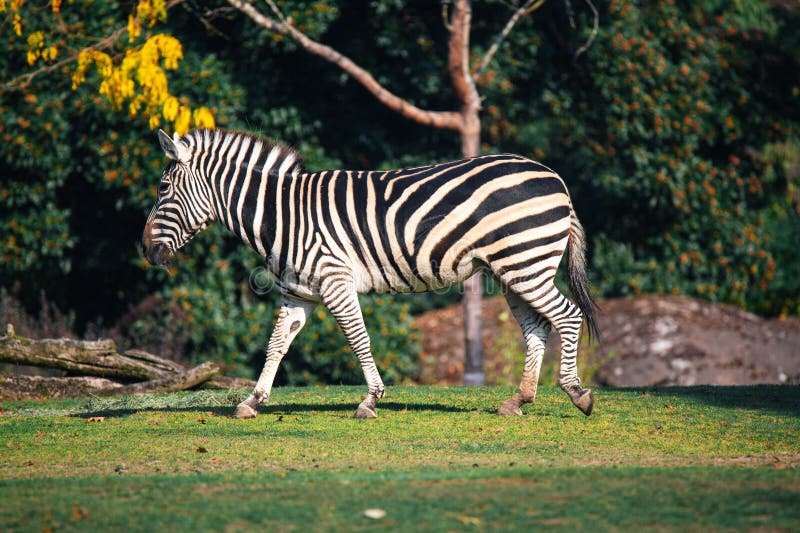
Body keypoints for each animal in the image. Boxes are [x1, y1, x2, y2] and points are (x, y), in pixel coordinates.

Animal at [141, 128, 599, 419]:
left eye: (163, 189)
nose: (144, 250)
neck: (283, 216)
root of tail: (555, 178)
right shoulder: (298, 292)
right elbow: (276, 345)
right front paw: (253, 401)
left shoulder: (335, 281)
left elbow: (357, 339)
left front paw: (371, 400)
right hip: (512, 268)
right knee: (537, 327)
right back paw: (519, 400)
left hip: (524, 262)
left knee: (567, 315)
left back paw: (577, 394)